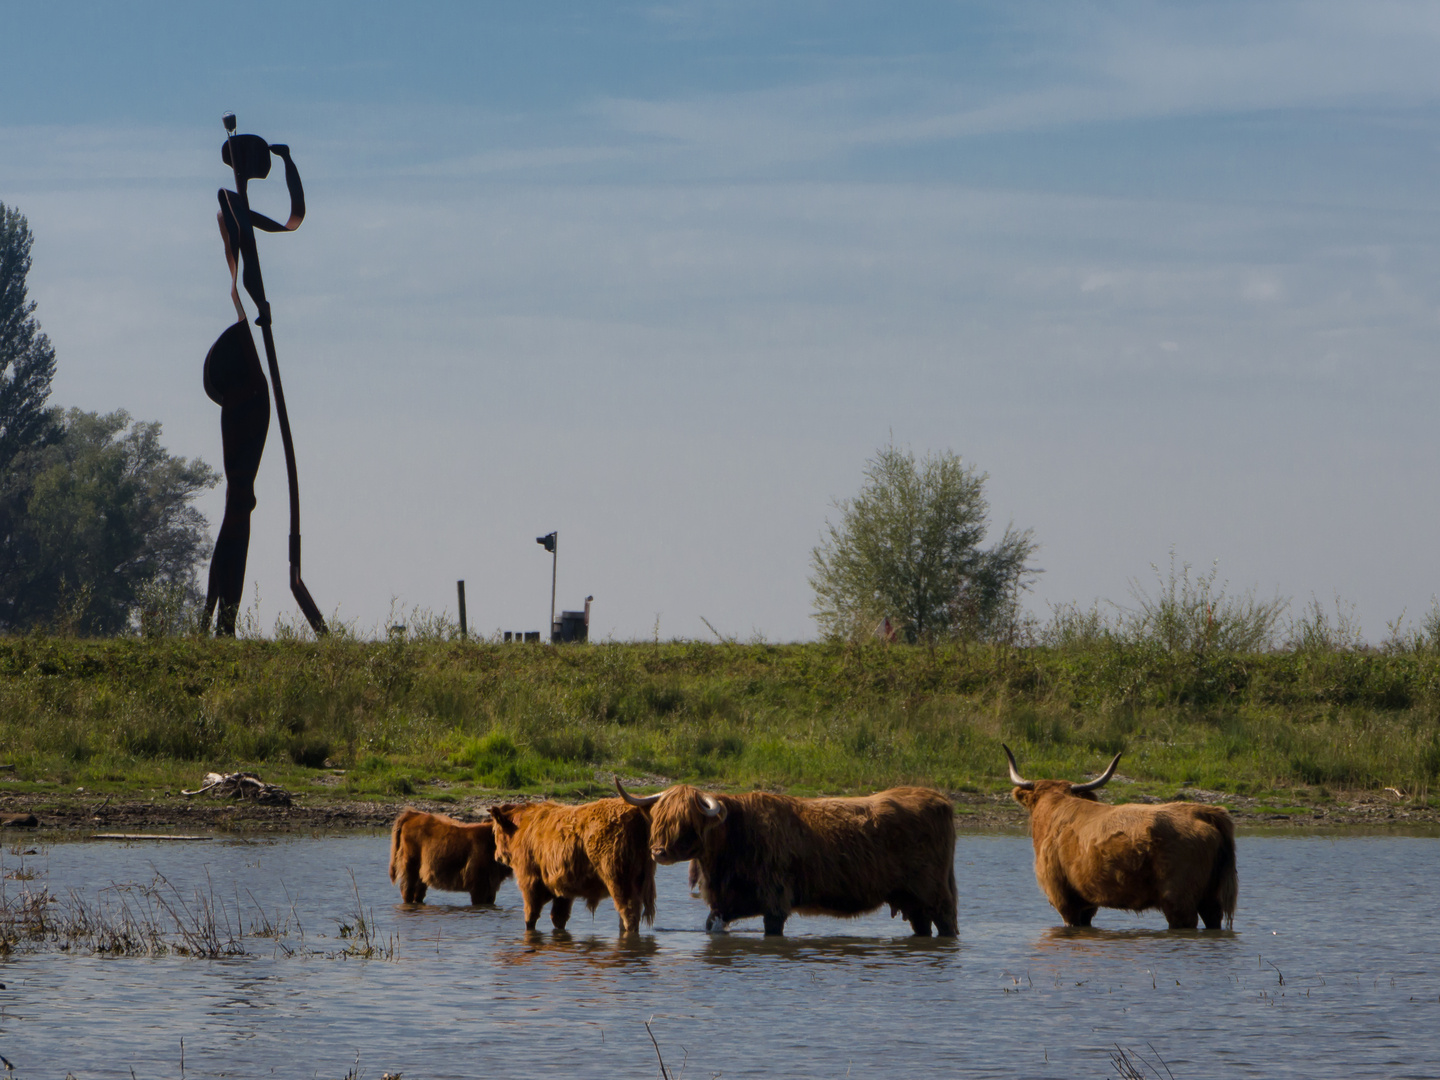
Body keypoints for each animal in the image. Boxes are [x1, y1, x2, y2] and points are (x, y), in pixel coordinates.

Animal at [489, 800, 659, 933]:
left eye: (495, 832)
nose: (496, 856)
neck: (521, 828)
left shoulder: (529, 879)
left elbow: (531, 915)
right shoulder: (562, 886)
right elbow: (558, 917)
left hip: (619, 879)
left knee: (629, 914)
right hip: (641, 879)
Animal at [610, 777, 956, 938]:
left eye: (685, 822)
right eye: (658, 819)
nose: (658, 851)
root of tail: (939, 799)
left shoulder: (775, 902)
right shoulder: (722, 906)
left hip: (935, 894)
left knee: (947, 924)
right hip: (912, 901)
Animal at [1002, 743, 1238, 933]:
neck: (1054, 809)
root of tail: (1202, 811)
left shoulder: (1063, 898)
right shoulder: (1087, 902)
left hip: (1179, 899)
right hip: (1212, 897)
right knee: (1213, 919)